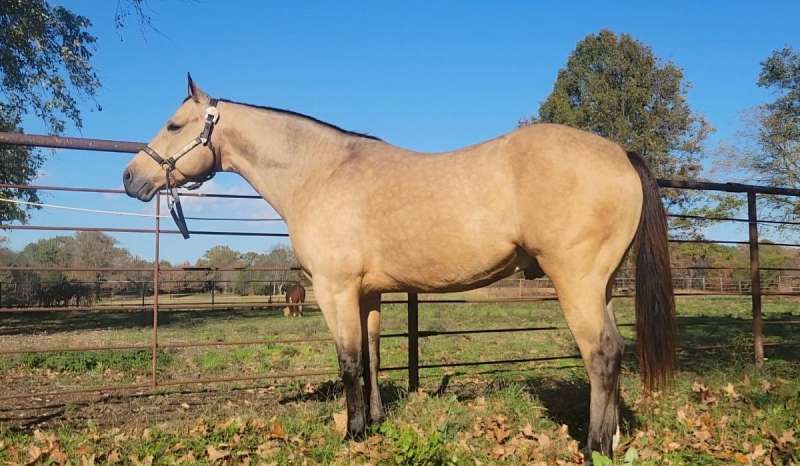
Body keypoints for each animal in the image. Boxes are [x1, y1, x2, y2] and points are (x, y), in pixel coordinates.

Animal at [122, 75, 675, 458]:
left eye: (174, 125)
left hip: (576, 282)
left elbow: (348, 361)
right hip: (602, 285)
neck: (321, 174)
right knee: (615, 350)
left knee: (601, 354)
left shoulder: (335, 290)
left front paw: (351, 435)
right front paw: (373, 423)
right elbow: (371, 357)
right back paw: (613, 439)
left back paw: (594, 447)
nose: (130, 177)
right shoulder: (369, 293)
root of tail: (621, 154)